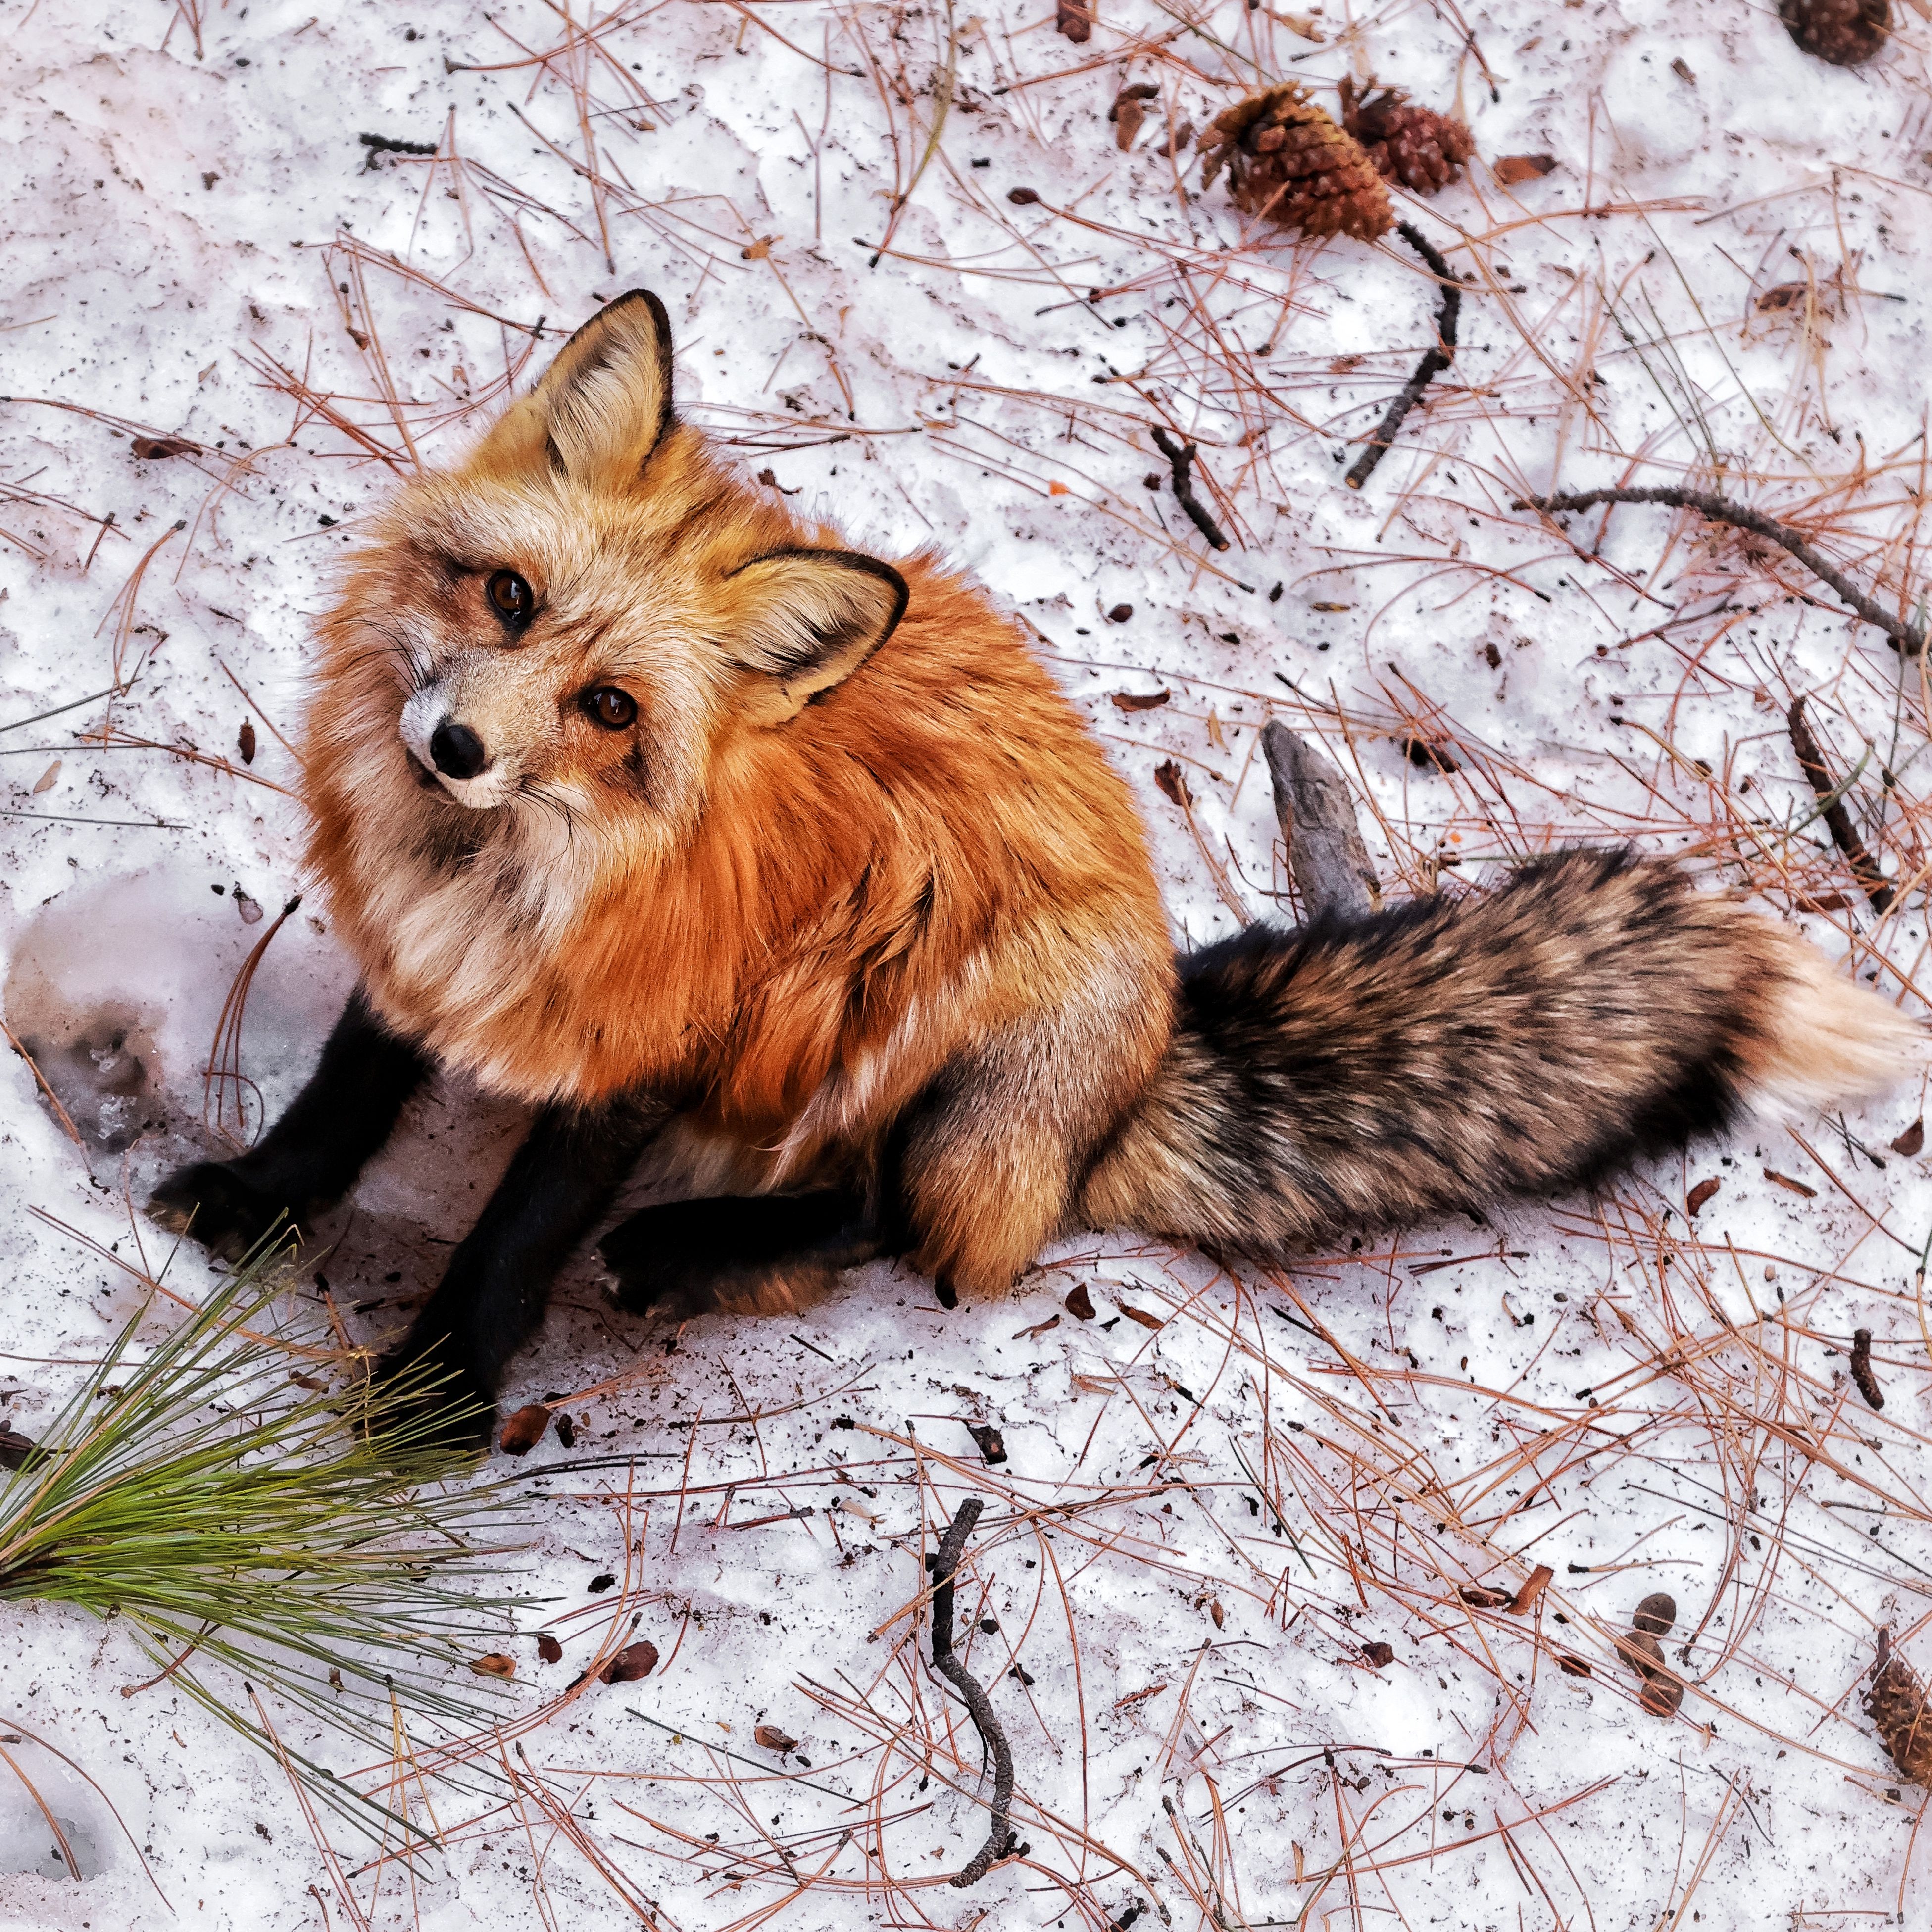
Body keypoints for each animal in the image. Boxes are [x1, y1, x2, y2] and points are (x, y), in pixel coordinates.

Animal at [146, 289, 1918, 1442]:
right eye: (507, 596)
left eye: (609, 709)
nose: (452, 748)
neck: (500, 878)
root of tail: (1141, 1065)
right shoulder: (423, 957)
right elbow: (344, 1098)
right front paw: (261, 1197)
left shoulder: (646, 1045)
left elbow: (514, 1236)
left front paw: (445, 1391)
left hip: (937, 1053)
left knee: (899, 1229)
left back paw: (704, 1249)